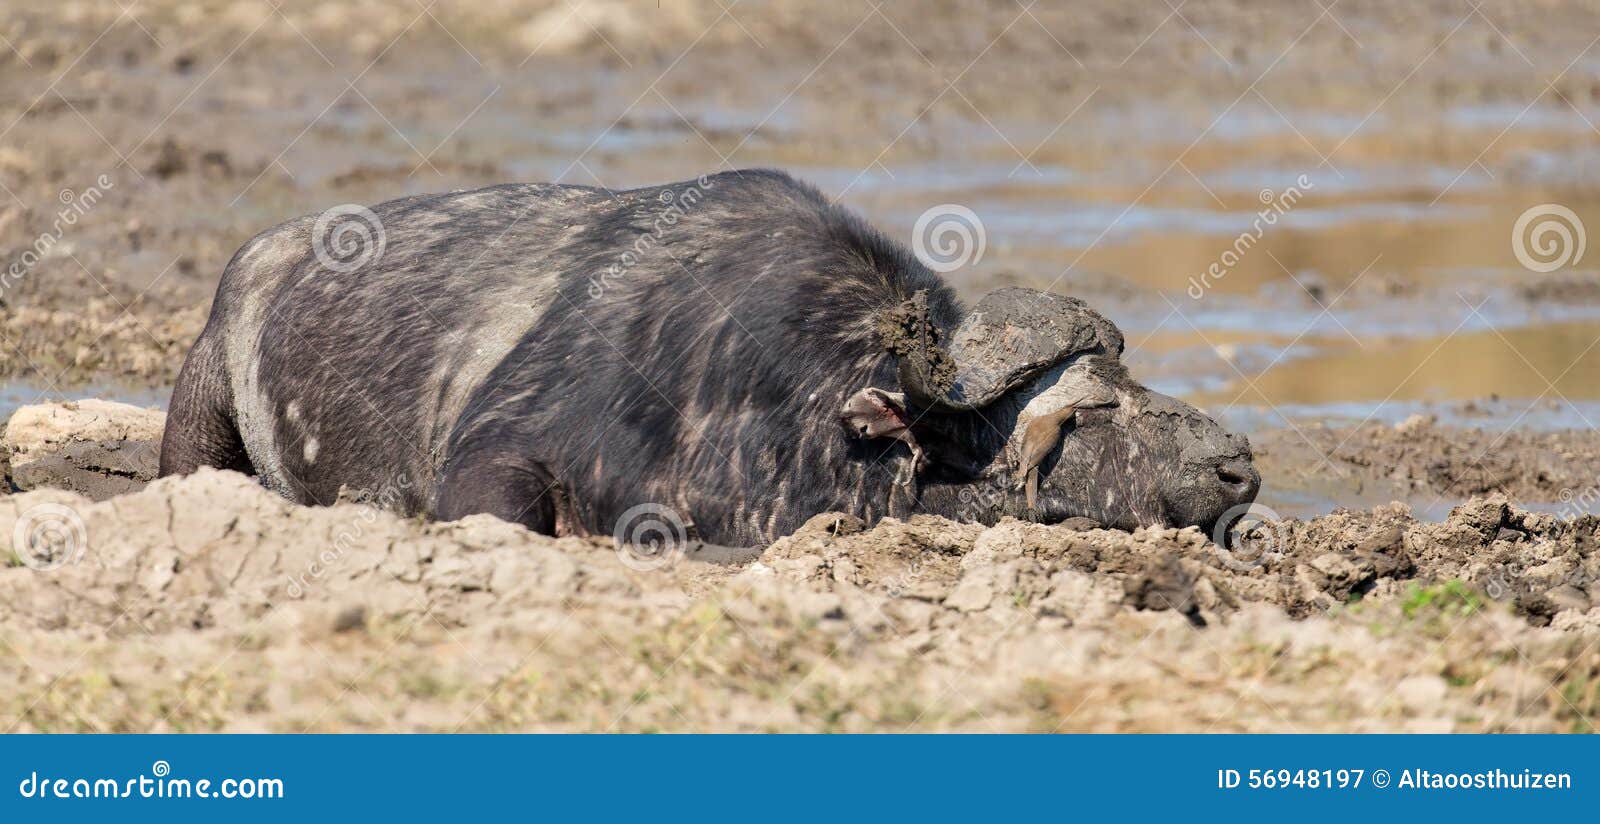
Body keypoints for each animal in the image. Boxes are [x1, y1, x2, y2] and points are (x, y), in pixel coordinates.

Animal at [159, 169, 1259, 547]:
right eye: (1086, 414)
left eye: (1133, 384)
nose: (1238, 467)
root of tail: (262, 255)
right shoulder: (498, 454)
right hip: (196, 414)